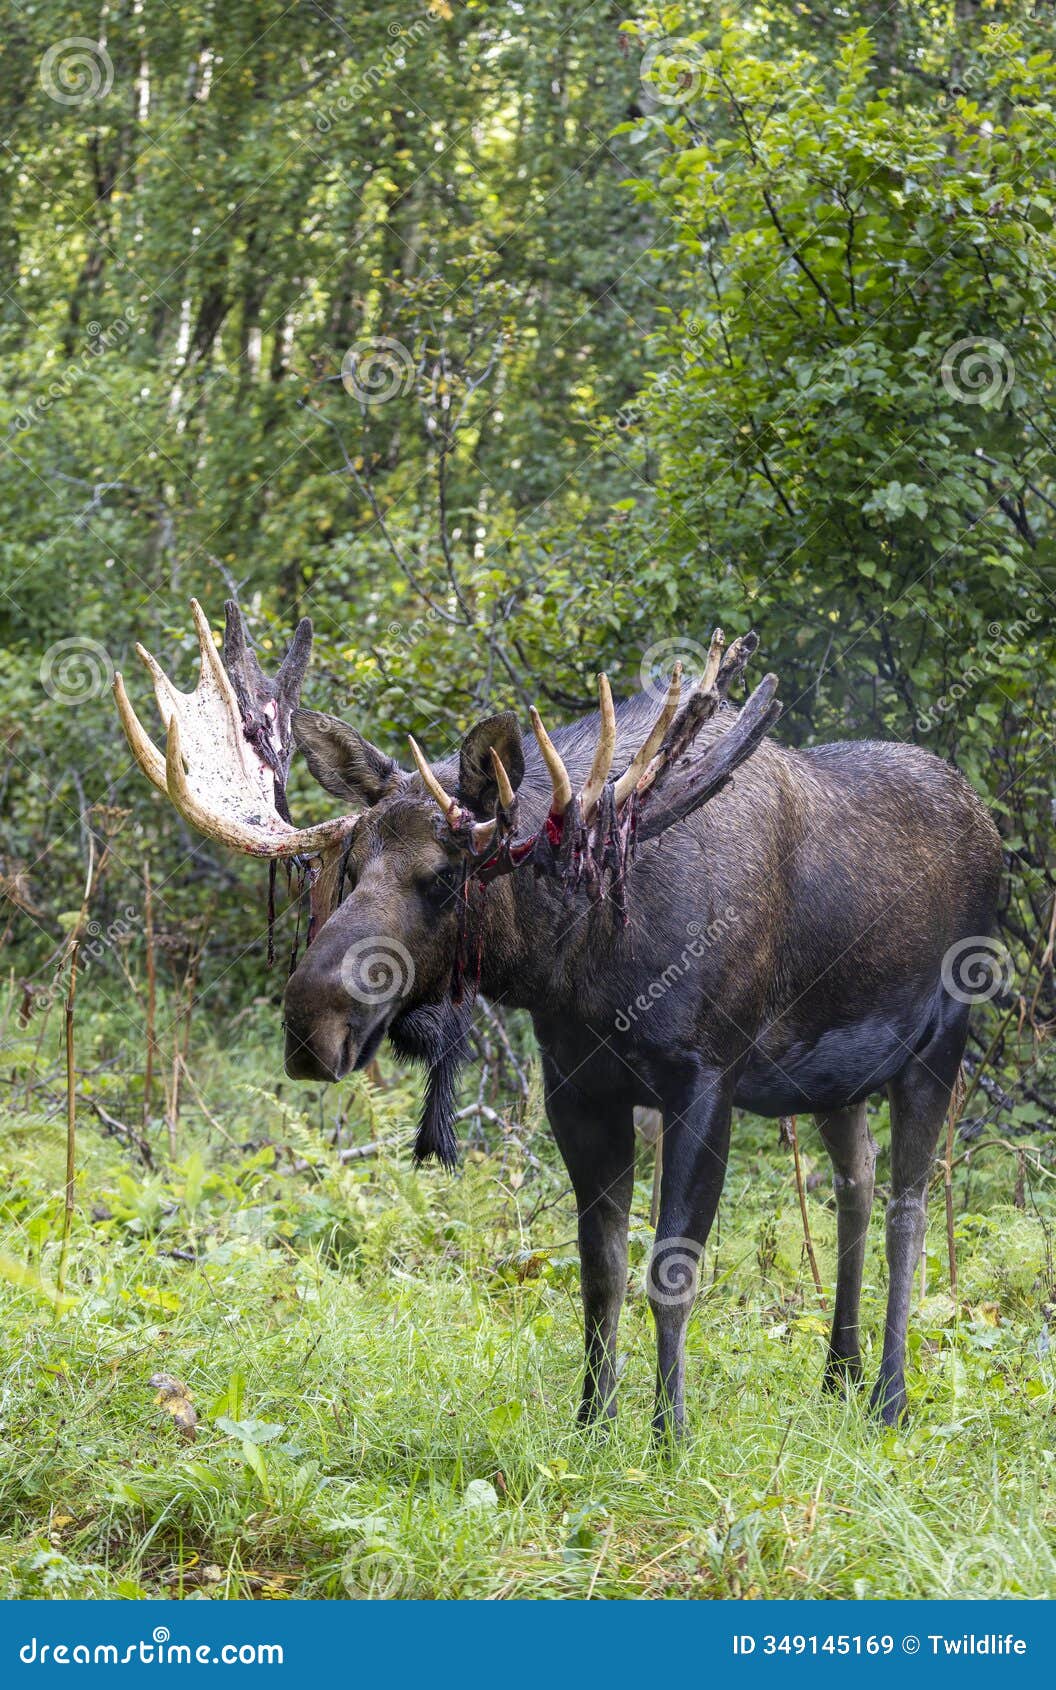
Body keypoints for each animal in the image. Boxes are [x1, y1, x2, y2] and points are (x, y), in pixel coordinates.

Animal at [114, 600, 1003, 1438]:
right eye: (351, 864)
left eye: (445, 875)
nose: (310, 1022)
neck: (579, 963)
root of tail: (991, 826)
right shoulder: (577, 1086)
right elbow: (598, 1270)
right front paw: (591, 1425)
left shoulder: (705, 1078)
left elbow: (671, 1272)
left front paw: (669, 1436)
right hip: (832, 1081)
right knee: (856, 1185)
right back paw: (838, 1374)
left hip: (940, 1045)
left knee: (909, 1209)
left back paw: (890, 1397)